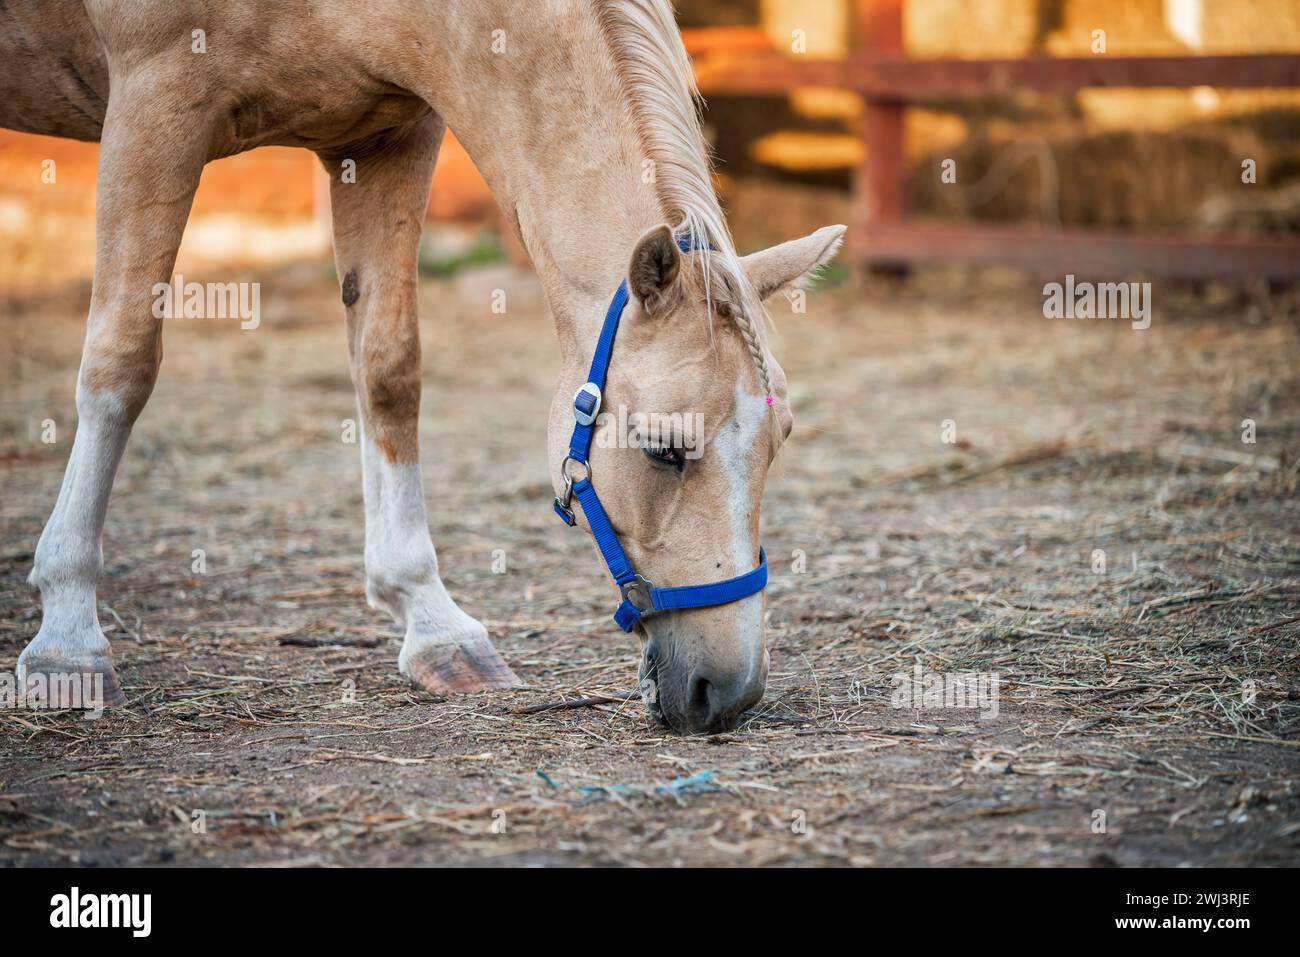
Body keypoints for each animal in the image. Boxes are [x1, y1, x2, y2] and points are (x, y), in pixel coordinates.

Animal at [2, 0, 844, 734]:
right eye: (665, 450)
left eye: (778, 445)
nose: (731, 691)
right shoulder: (155, 103)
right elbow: (121, 362)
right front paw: (68, 636)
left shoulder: (387, 136)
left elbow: (389, 369)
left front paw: (432, 620)